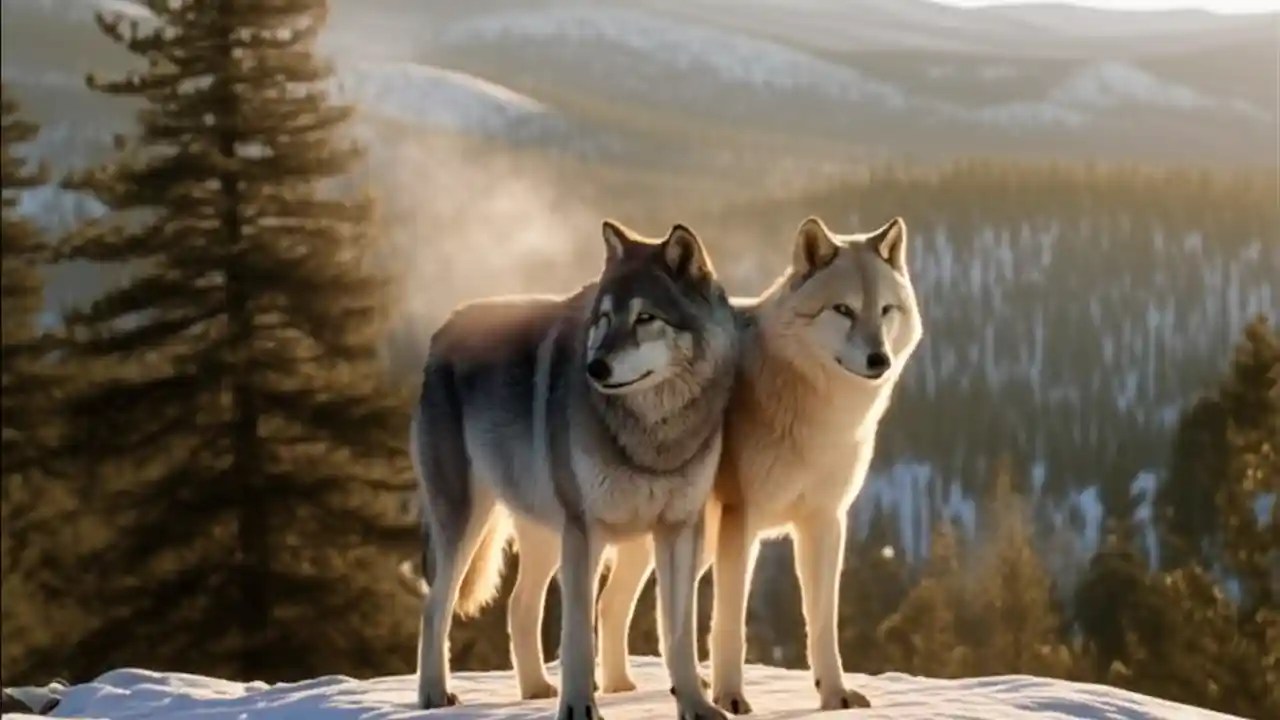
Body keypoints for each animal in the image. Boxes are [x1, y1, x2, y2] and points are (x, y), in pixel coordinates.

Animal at [409, 220, 738, 720]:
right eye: (602, 319)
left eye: (645, 318)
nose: (595, 367)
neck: (653, 437)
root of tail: (445, 327)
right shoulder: (585, 530)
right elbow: (579, 634)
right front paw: (580, 708)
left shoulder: (680, 528)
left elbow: (677, 633)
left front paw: (696, 705)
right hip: (467, 523)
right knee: (435, 606)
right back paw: (432, 695)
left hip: (545, 531)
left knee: (519, 606)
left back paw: (534, 690)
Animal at [569, 215, 924, 713]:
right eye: (843, 310)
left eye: (887, 310)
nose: (880, 359)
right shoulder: (743, 520)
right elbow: (729, 620)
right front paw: (731, 697)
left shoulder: (824, 522)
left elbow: (822, 624)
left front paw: (834, 695)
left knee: (612, 603)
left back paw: (624, 687)